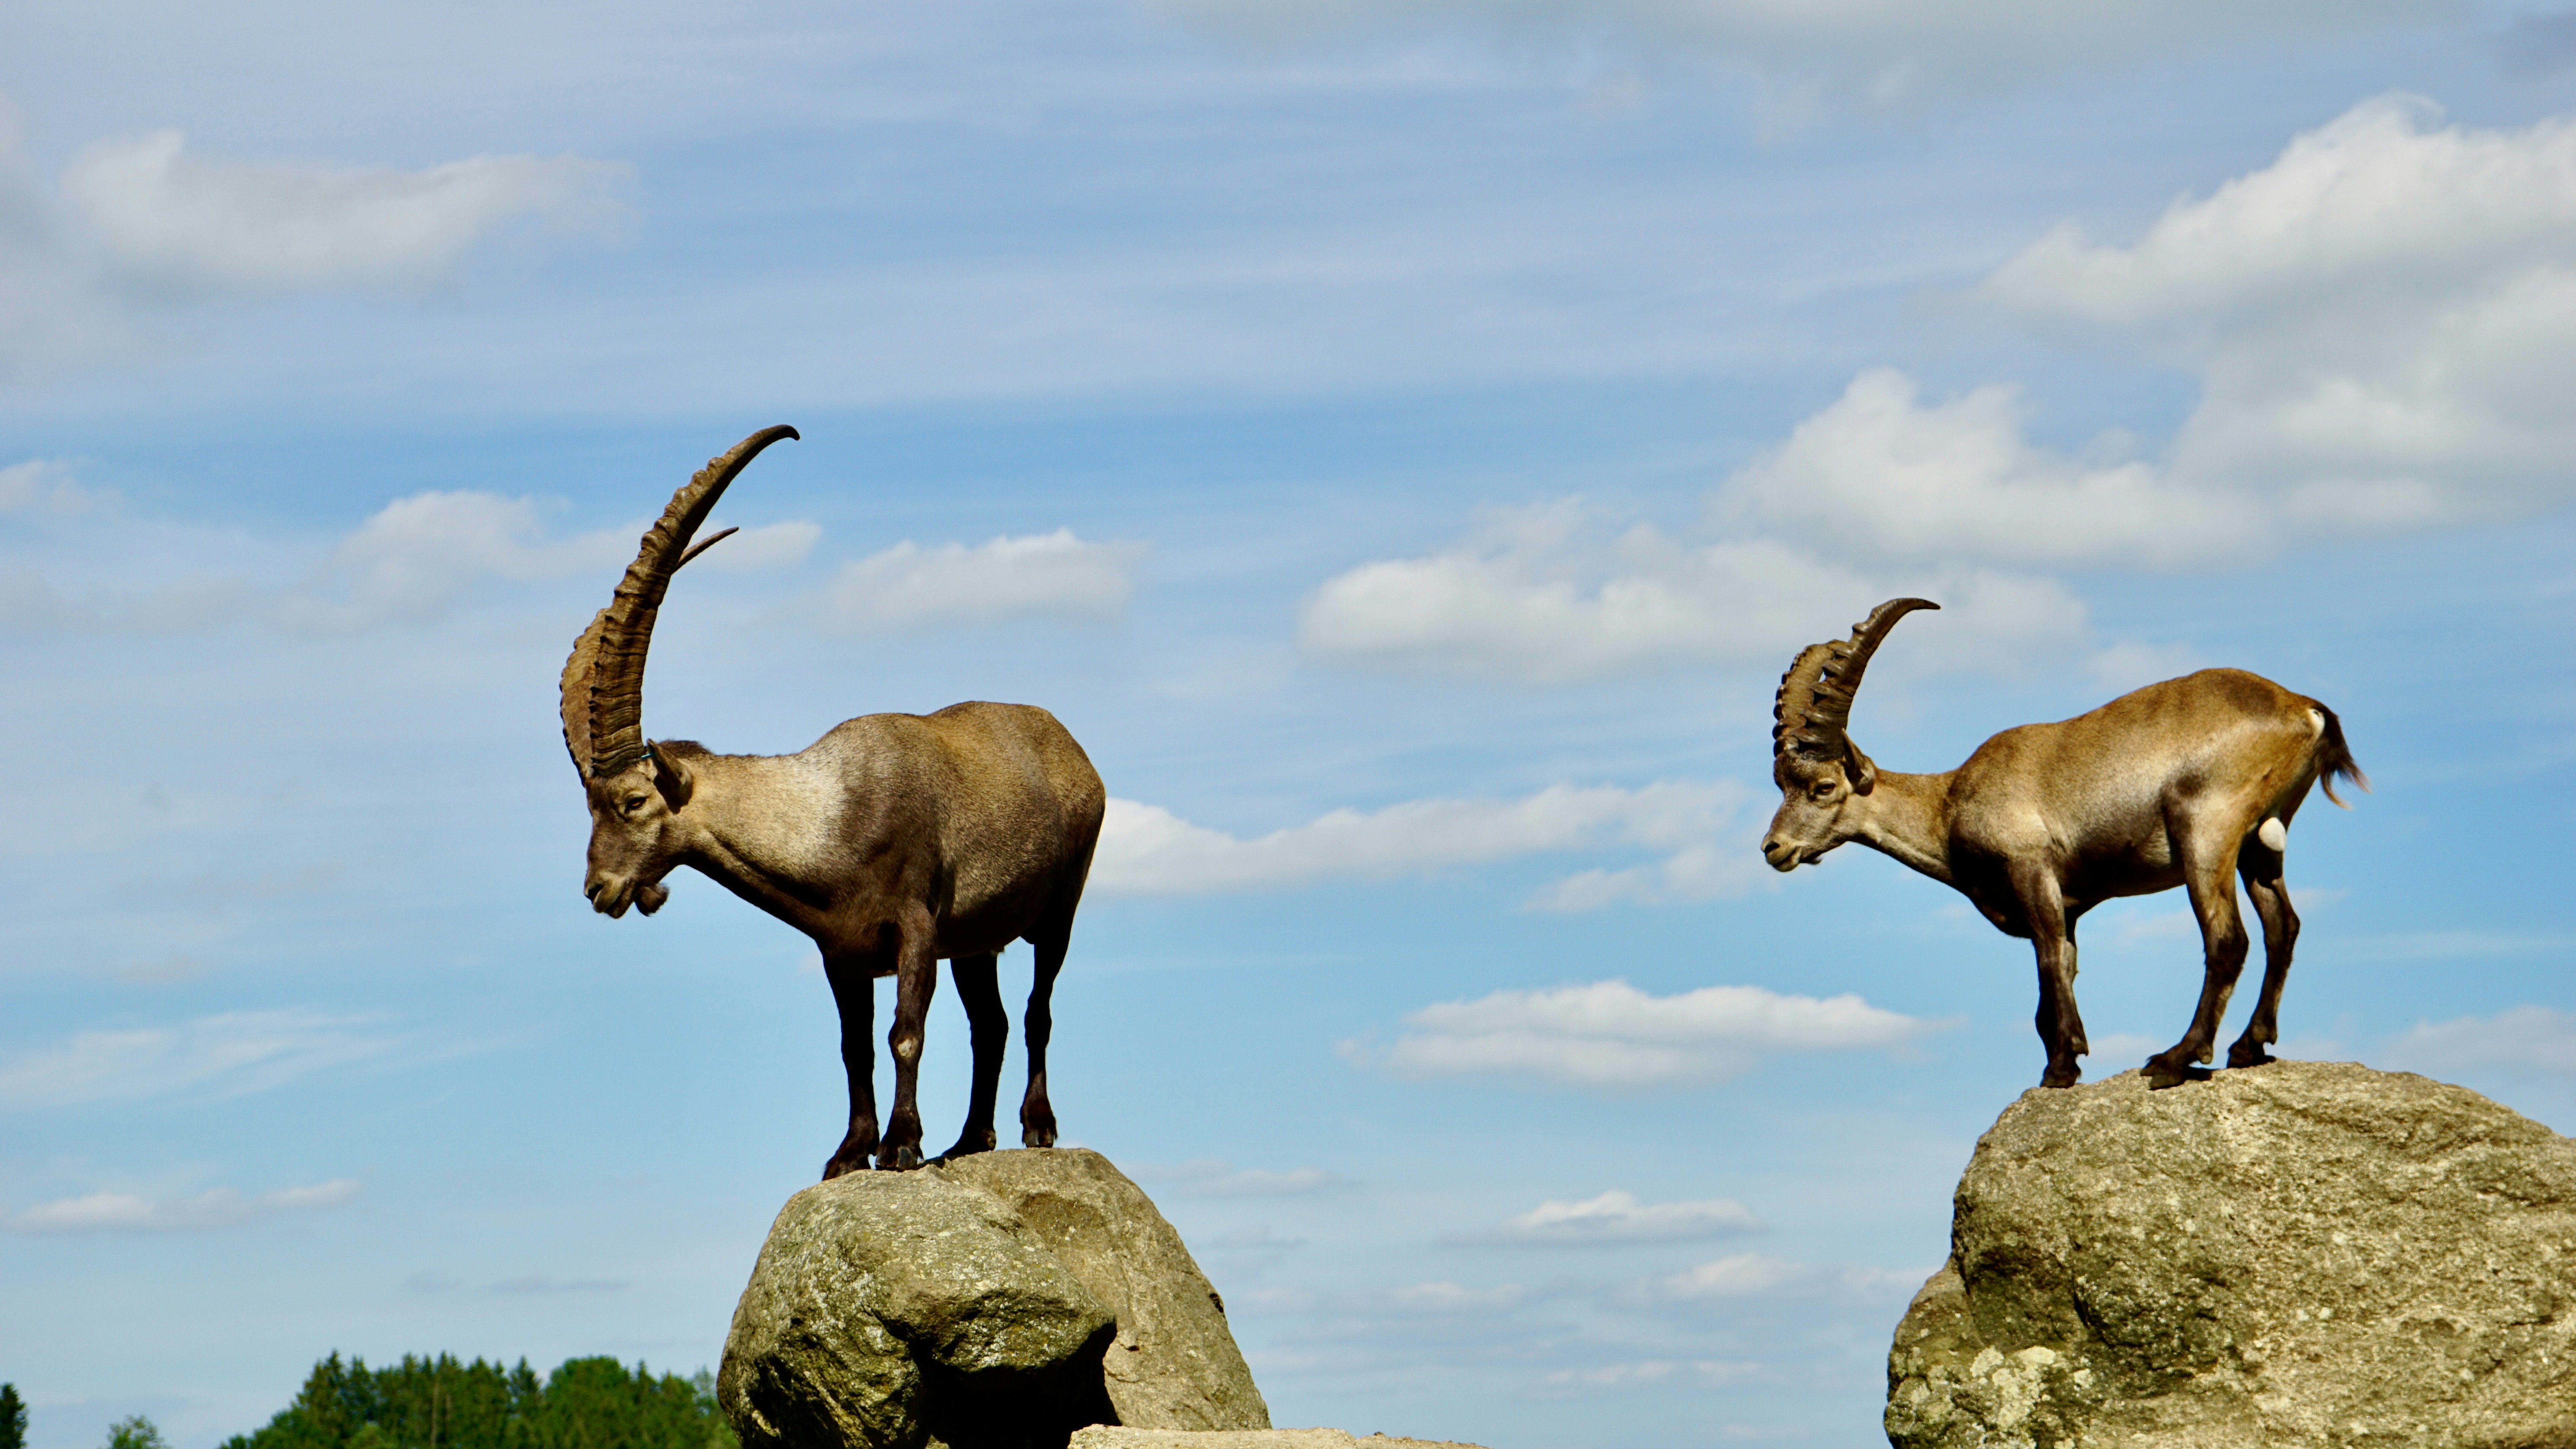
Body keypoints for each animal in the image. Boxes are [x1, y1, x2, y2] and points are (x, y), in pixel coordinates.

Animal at [559, 426, 1106, 1174]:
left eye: (634, 801)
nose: (600, 889)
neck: (826, 821)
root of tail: (1072, 748)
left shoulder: (915, 927)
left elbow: (905, 1032)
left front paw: (901, 1145)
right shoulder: (839, 953)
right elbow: (854, 1050)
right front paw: (850, 1153)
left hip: (1058, 908)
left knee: (1035, 1011)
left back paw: (1038, 1126)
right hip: (976, 942)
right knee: (990, 1025)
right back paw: (970, 1140)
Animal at [1760, 598, 2365, 1090]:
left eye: (1823, 787)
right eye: (1780, 784)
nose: (1774, 848)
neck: (1949, 802)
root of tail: (2302, 707)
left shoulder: (2031, 868)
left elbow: (2049, 962)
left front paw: (2058, 1071)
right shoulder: (2070, 903)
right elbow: (2058, 976)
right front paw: (2067, 1058)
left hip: (2206, 828)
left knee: (2227, 939)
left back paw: (2176, 1059)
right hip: (2262, 842)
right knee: (2283, 926)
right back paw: (2248, 1047)